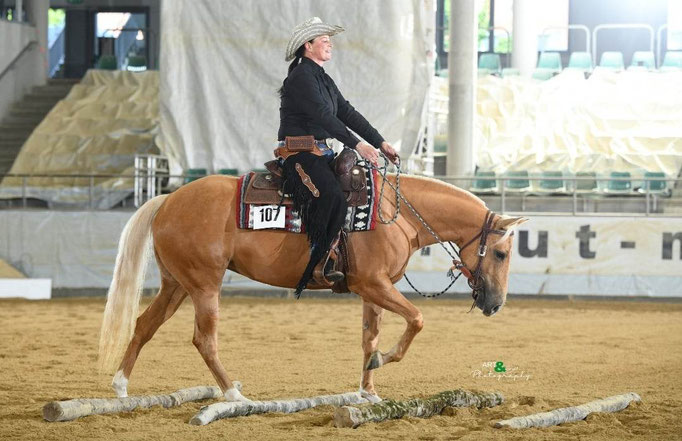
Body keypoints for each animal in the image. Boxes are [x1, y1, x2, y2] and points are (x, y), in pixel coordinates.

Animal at [98, 173, 527, 403]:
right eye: (502, 253)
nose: (496, 304)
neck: (396, 212)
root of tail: (169, 199)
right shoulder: (372, 283)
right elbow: (417, 319)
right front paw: (383, 362)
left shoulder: (374, 289)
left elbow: (369, 338)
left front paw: (368, 390)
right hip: (204, 285)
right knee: (204, 339)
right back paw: (233, 394)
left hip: (176, 285)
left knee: (144, 326)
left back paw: (121, 386)